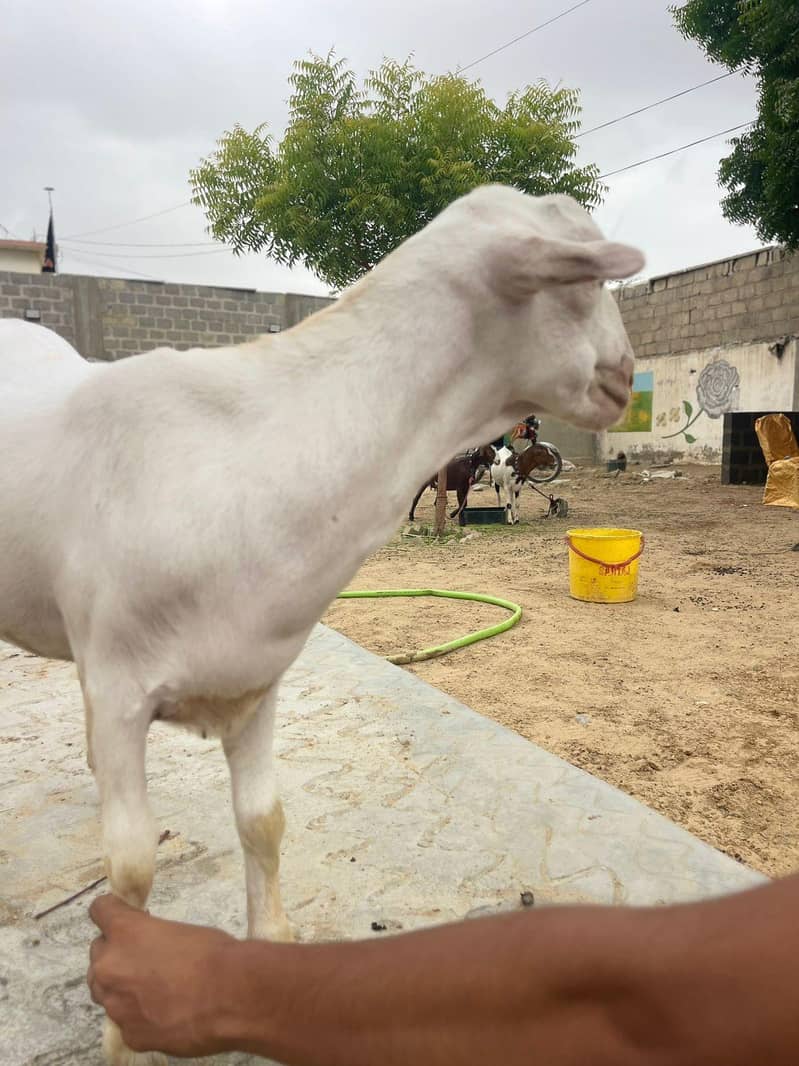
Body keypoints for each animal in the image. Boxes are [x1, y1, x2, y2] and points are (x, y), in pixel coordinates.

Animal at [0, 184, 643, 1066]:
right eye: (581, 283)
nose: (625, 378)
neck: (242, 463)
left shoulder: (254, 679)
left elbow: (263, 821)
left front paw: (269, 947)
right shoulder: (121, 686)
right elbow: (128, 870)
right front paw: (122, 1041)